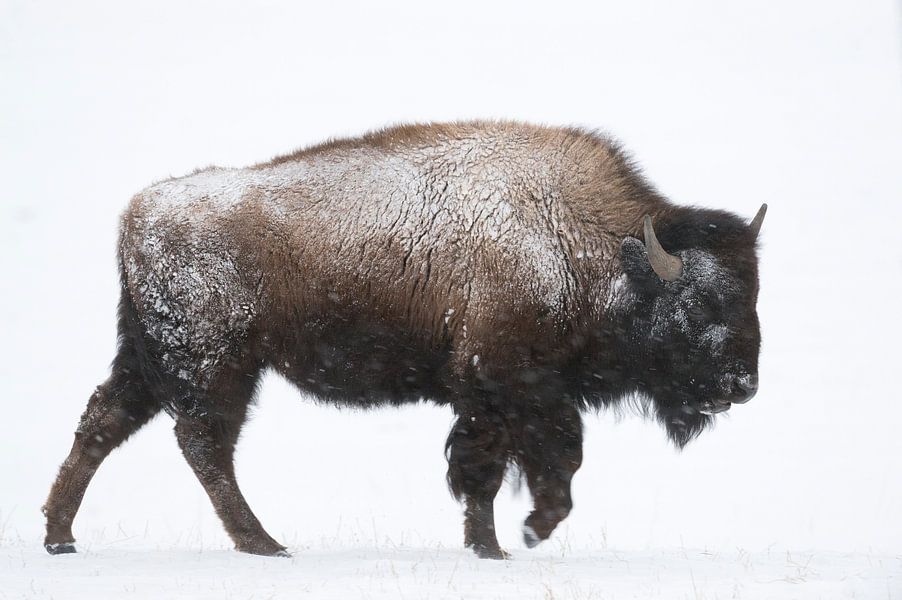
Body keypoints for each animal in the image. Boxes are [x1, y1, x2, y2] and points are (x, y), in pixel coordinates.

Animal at [43, 121, 765, 559]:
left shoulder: (497, 397)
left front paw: (493, 545)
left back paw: (60, 536)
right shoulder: (511, 385)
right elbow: (538, 464)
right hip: (216, 363)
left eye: (753, 297)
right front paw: (524, 536)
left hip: (152, 358)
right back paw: (263, 544)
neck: (593, 249)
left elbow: (495, 471)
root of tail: (140, 211)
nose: (743, 386)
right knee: (203, 443)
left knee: (106, 423)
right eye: (701, 303)